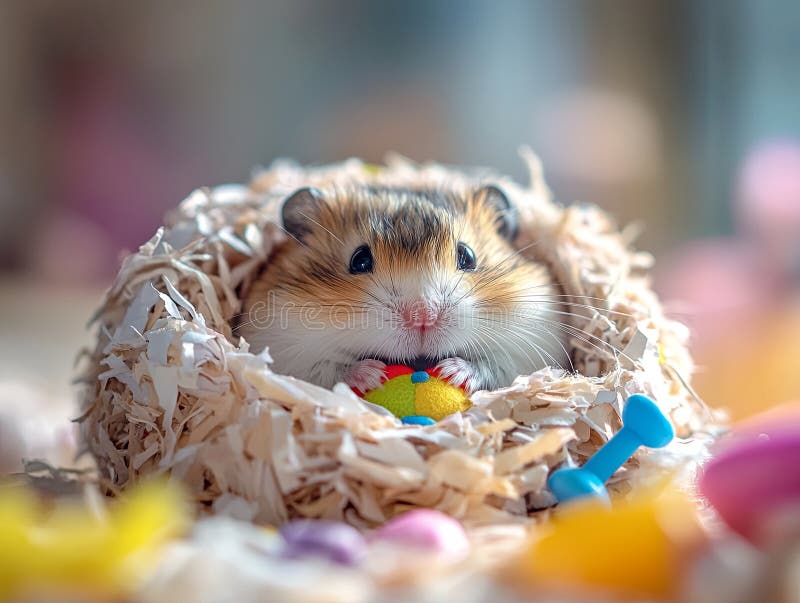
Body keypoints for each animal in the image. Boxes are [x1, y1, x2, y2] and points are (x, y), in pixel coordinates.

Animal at [236, 185, 568, 393]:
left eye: (468, 256)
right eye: (359, 260)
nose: (423, 316)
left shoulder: (531, 347)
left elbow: (496, 365)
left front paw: (453, 372)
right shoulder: (283, 350)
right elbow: (324, 368)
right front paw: (372, 374)